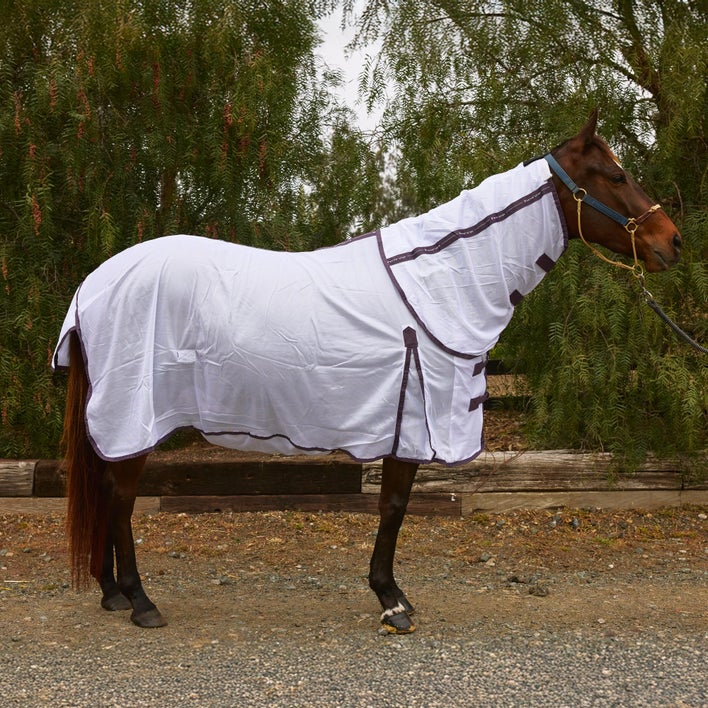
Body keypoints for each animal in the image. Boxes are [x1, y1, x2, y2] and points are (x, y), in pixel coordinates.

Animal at [54, 110, 681, 634]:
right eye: (617, 174)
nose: (671, 242)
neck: (442, 278)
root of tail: (92, 285)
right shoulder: (411, 424)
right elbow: (394, 508)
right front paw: (391, 601)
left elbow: (392, 509)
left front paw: (392, 596)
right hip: (134, 413)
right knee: (121, 497)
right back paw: (140, 601)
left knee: (106, 491)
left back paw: (111, 593)